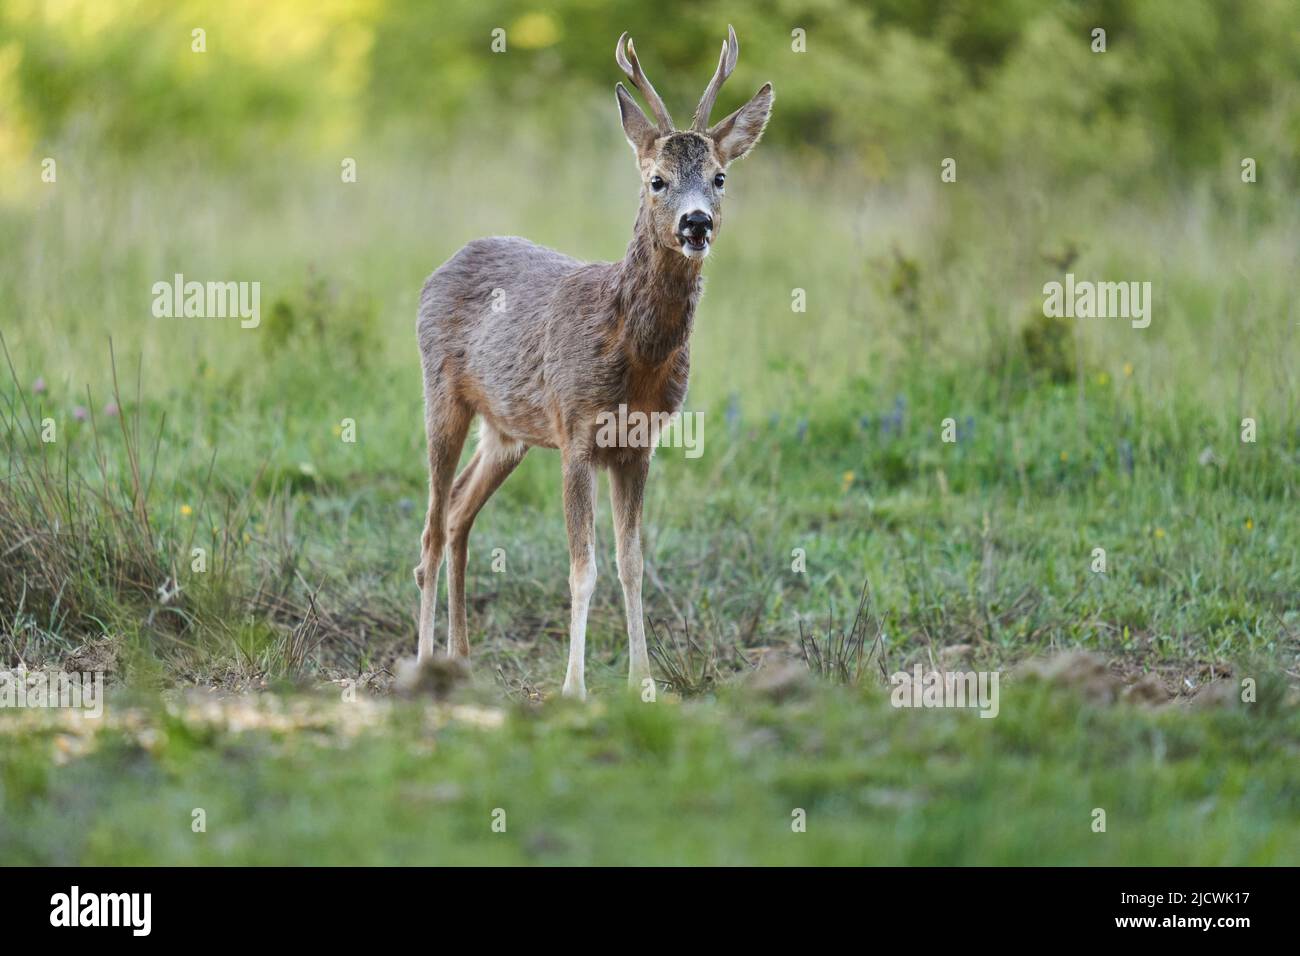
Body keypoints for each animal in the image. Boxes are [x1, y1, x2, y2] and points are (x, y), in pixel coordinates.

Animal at [413, 25, 773, 700]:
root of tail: (443, 264)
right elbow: (584, 567)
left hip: (507, 431)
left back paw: (462, 660)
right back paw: (423, 664)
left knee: (457, 515)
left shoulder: (638, 445)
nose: (696, 223)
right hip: (442, 395)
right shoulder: (576, 430)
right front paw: (574, 689)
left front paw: (644, 683)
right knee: (429, 532)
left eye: (719, 177)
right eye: (656, 179)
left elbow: (632, 563)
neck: (631, 356)